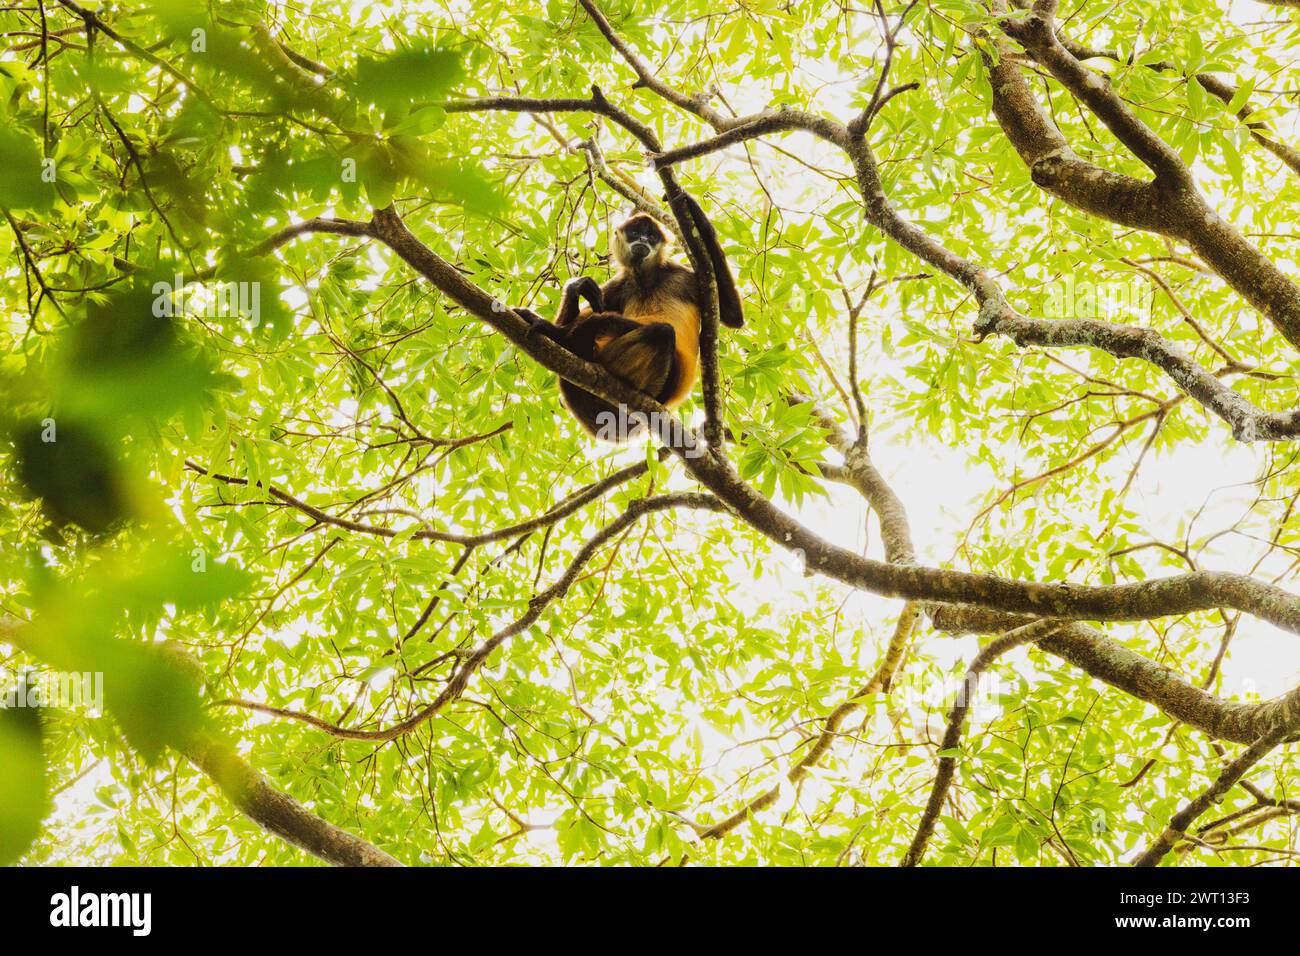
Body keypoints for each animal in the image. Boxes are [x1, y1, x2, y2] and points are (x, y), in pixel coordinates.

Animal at [517, 193, 744, 440]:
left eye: (651, 236)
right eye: (635, 233)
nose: (643, 239)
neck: (645, 278)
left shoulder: (682, 275)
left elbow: (733, 315)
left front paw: (689, 205)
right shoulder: (620, 285)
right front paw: (576, 287)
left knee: (659, 331)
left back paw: (566, 338)